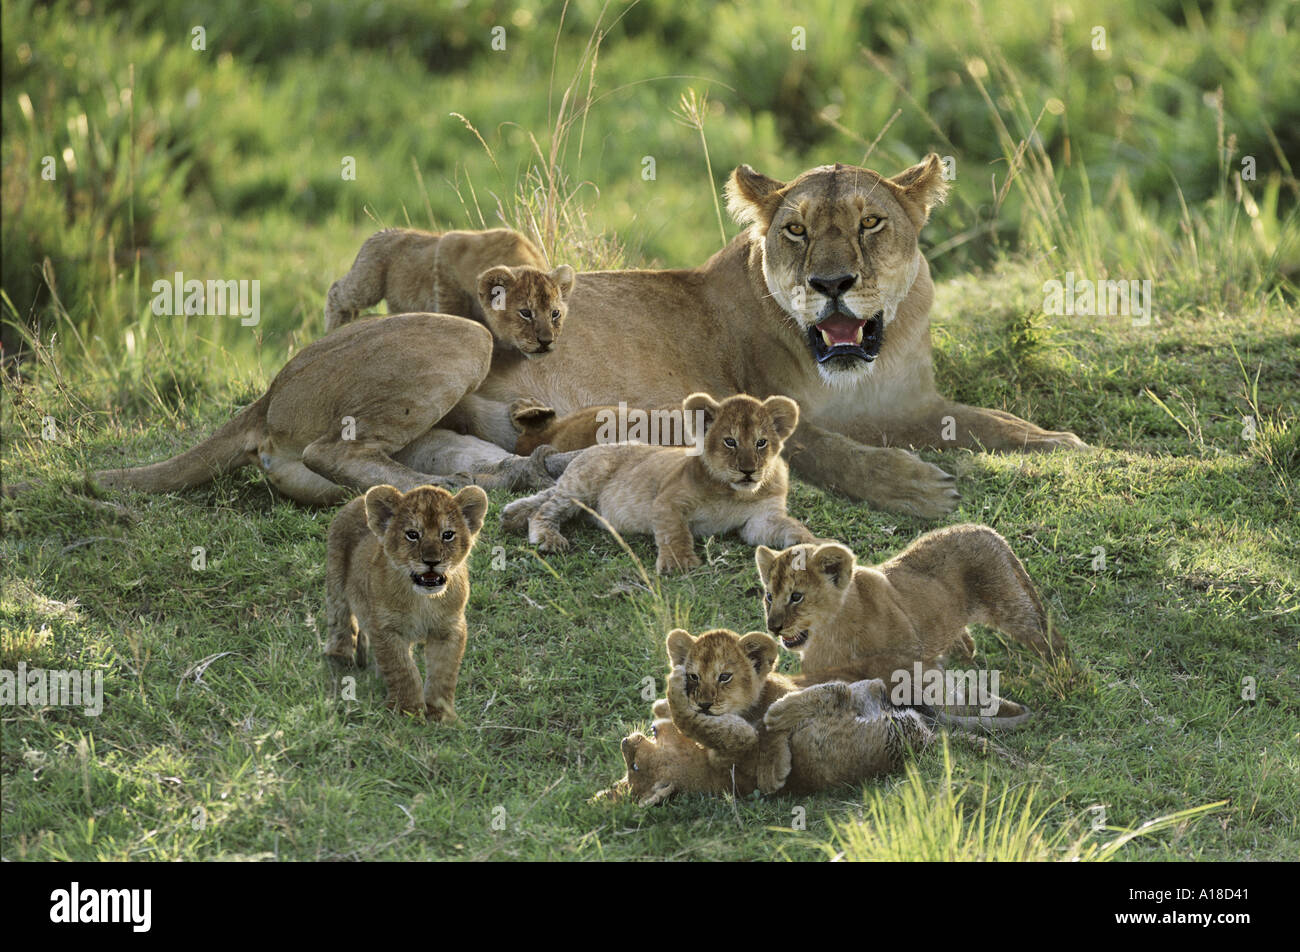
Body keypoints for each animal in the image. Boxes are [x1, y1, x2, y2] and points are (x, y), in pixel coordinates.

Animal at [324, 227, 575, 351]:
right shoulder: (447, 257)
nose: (546, 342)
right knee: (337, 291)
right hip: (368, 282)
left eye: (555, 313)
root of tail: (379, 233)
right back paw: (334, 329)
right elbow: (454, 316)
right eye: (525, 313)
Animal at [324, 483, 487, 720]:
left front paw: (440, 714)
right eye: (412, 535)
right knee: (340, 619)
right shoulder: (386, 628)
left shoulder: (450, 628)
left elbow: (444, 673)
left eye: (447, 535)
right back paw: (340, 658)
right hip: (336, 580)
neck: (423, 600)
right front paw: (407, 712)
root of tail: (359, 498)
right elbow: (402, 669)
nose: (431, 561)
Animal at [499, 392, 814, 574]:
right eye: (730, 441)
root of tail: (590, 449)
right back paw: (547, 537)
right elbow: (675, 532)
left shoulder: (759, 520)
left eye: (762, 443)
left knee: (547, 495)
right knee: (547, 508)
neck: (735, 493)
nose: (748, 471)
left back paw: (511, 514)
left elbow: (788, 527)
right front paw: (678, 562)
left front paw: (812, 544)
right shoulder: (667, 501)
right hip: (583, 485)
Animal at [755, 524, 1067, 727]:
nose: (773, 627)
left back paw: (1063, 673)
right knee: (965, 643)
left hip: (1010, 604)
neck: (831, 635)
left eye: (796, 596)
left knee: (1045, 636)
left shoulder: (914, 663)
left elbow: (949, 694)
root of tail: (983, 528)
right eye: (769, 596)